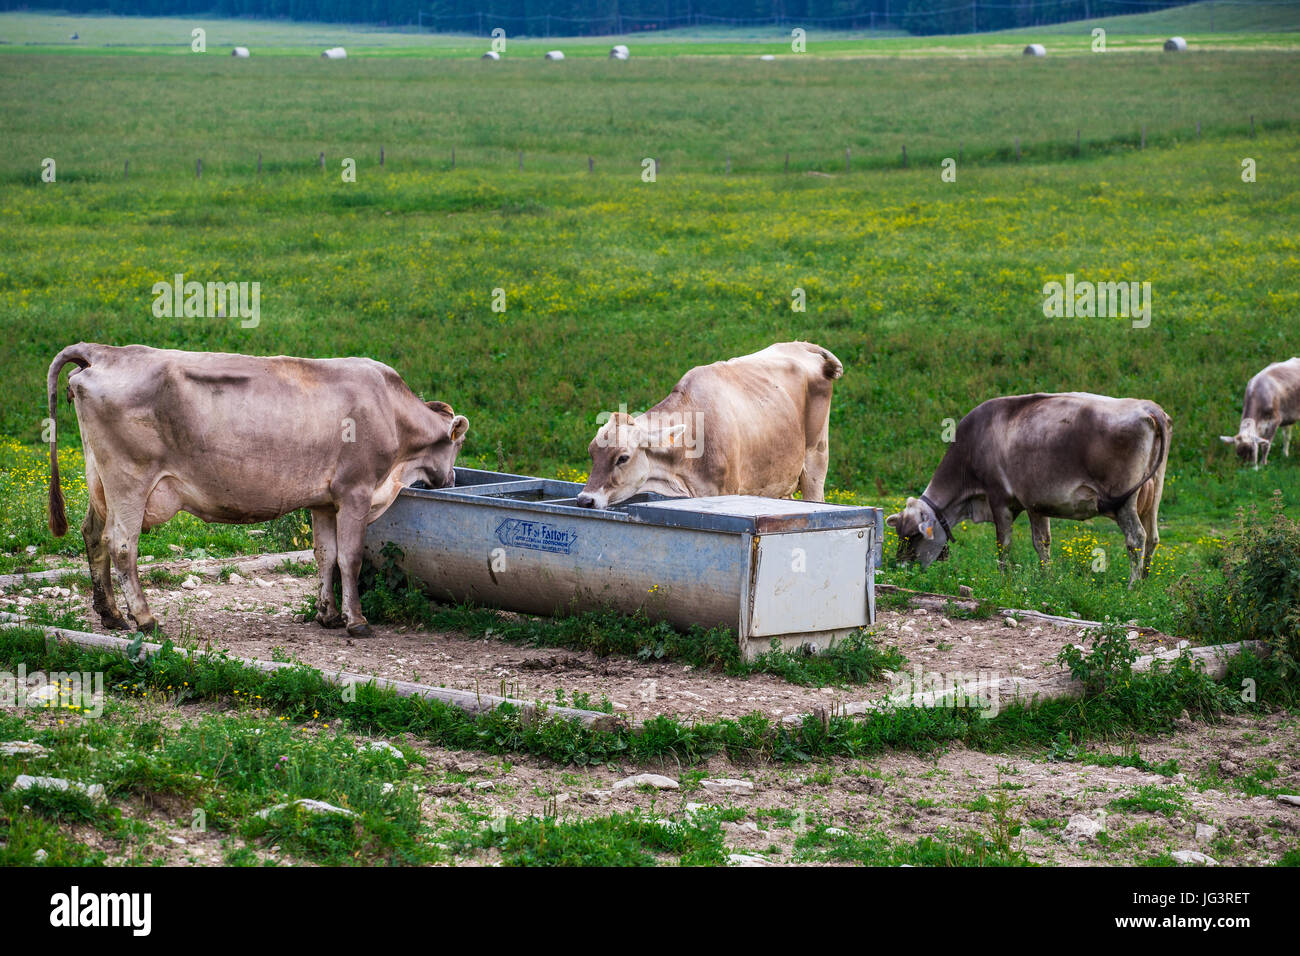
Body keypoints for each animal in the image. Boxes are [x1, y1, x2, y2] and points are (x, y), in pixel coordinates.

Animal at [48, 343, 470, 634]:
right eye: (459, 445)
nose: (451, 481)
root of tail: (105, 352)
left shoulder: (323, 501)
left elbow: (325, 555)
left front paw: (328, 615)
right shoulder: (356, 492)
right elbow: (350, 558)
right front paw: (357, 621)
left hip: (99, 480)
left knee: (92, 536)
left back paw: (111, 615)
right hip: (130, 480)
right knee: (121, 544)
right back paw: (145, 617)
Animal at [577, 343, 842, 509]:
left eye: (623, 457)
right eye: (591, 453)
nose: (584, 500)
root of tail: (801, 345)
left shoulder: (728, 490)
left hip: (816, 460)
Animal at [889, 392, 1175, 587]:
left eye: (912, 535)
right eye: (899, 534)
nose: (899, 569)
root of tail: (1148, 407)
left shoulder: (999, 499)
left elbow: (1003, 544)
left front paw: (1004, 579)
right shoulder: (1037, 503)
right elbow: (1042, 543)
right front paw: (1046, 578)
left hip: (1124, 501)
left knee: (1136, 538)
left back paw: (1133, 586)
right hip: (1153, 494)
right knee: (1152, 537)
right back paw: (1146, 581)